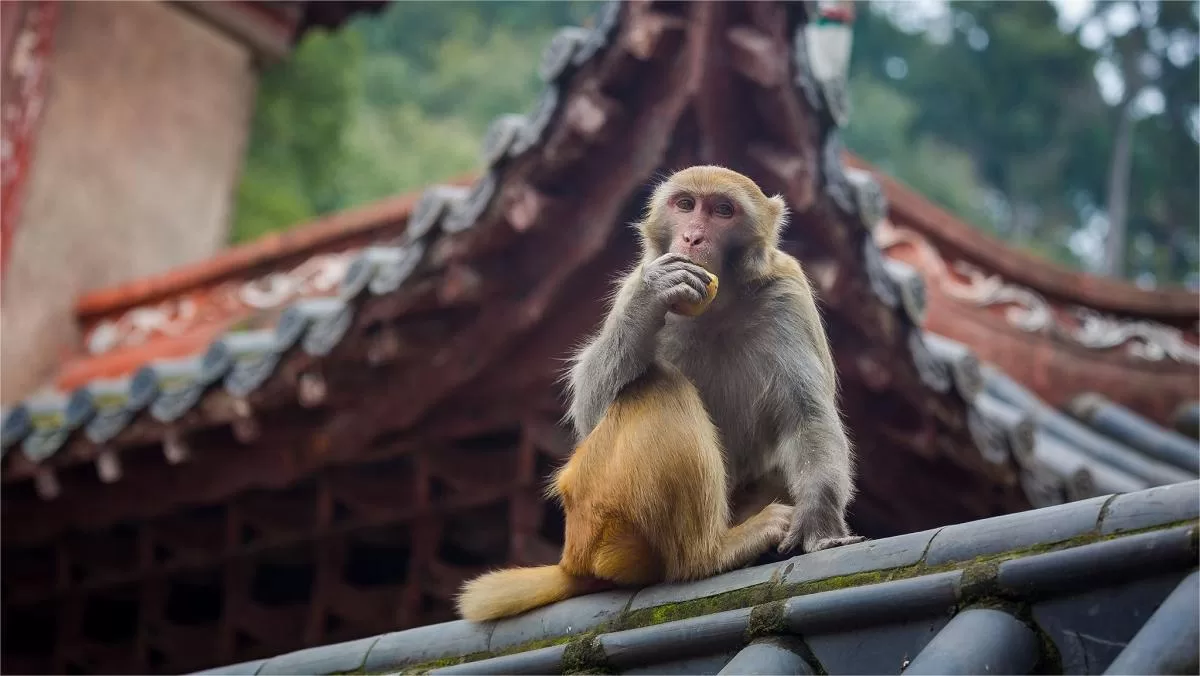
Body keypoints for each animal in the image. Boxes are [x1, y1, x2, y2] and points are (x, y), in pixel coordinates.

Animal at [455, 166, 862, 623]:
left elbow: (806, 417)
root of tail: (571, 560)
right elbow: (590, 412)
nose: (693, 238)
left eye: (723, 211)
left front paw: (818, 521)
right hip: (598, 511)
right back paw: (708, 554)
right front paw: (653, 297)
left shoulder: (787, 293)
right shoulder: (636, 277)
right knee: (657, 385)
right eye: (686, 205)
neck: (720, 303)